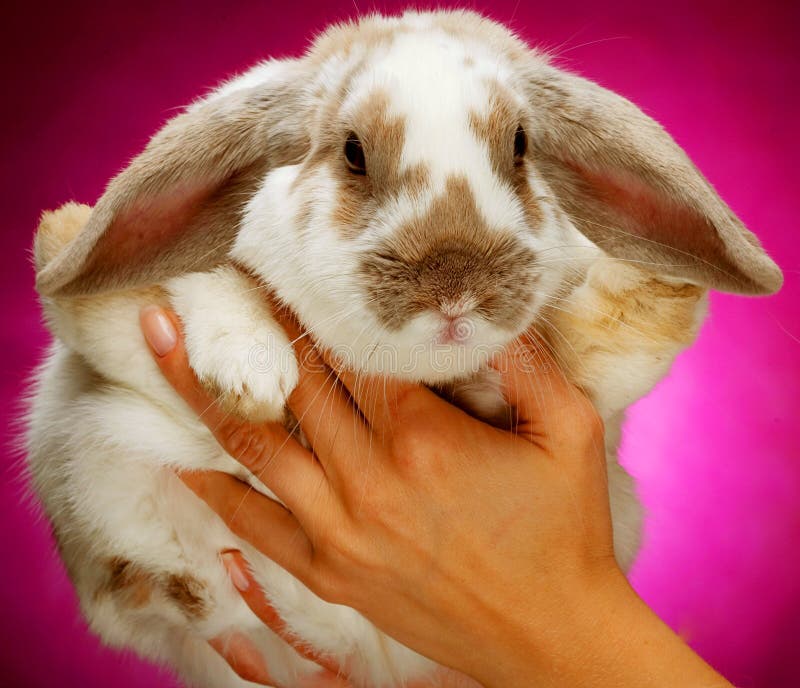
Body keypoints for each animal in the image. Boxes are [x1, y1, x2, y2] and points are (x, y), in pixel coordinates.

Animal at [25, 9, 782, 688]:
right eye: (353, 152)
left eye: (520, 144)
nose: (454, 282)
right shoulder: (98, 348)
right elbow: (179, 276)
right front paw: (249, 373)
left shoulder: (591, 395)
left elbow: (607, 347)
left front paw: (658, 283)